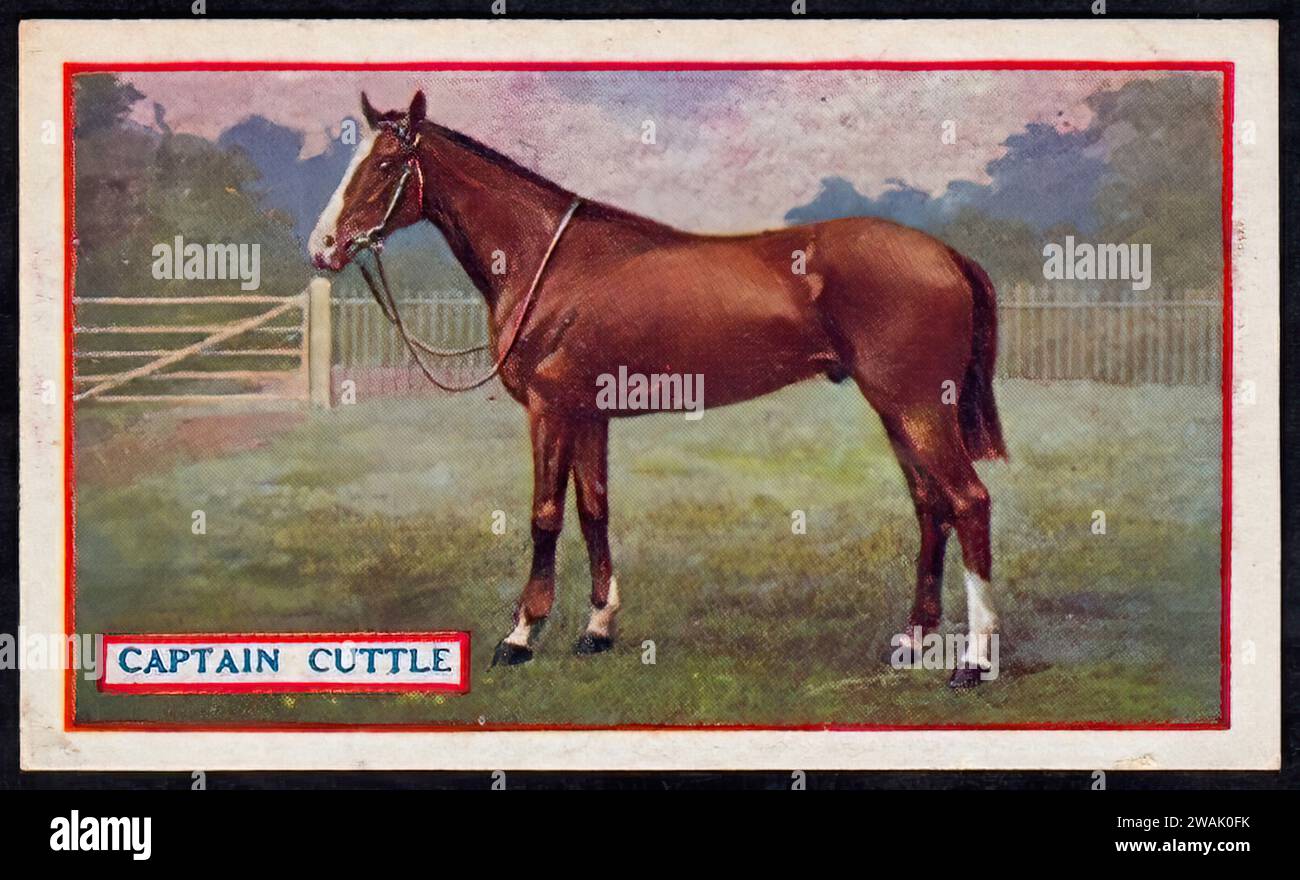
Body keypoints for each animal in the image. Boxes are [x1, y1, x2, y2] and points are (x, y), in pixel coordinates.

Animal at [310, 91, 1007, 687]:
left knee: (969, 501)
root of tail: (947, 255)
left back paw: (972, 662)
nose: (322, 248)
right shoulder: (588, 413)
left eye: (386, 163)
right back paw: (914, 640)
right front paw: (597, 628)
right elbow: (594, 510)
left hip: (916, 407)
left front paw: (520, 635)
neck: (547, 263)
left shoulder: (548, 411)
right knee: (931, 506)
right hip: (897, 410)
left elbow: (544, 515)